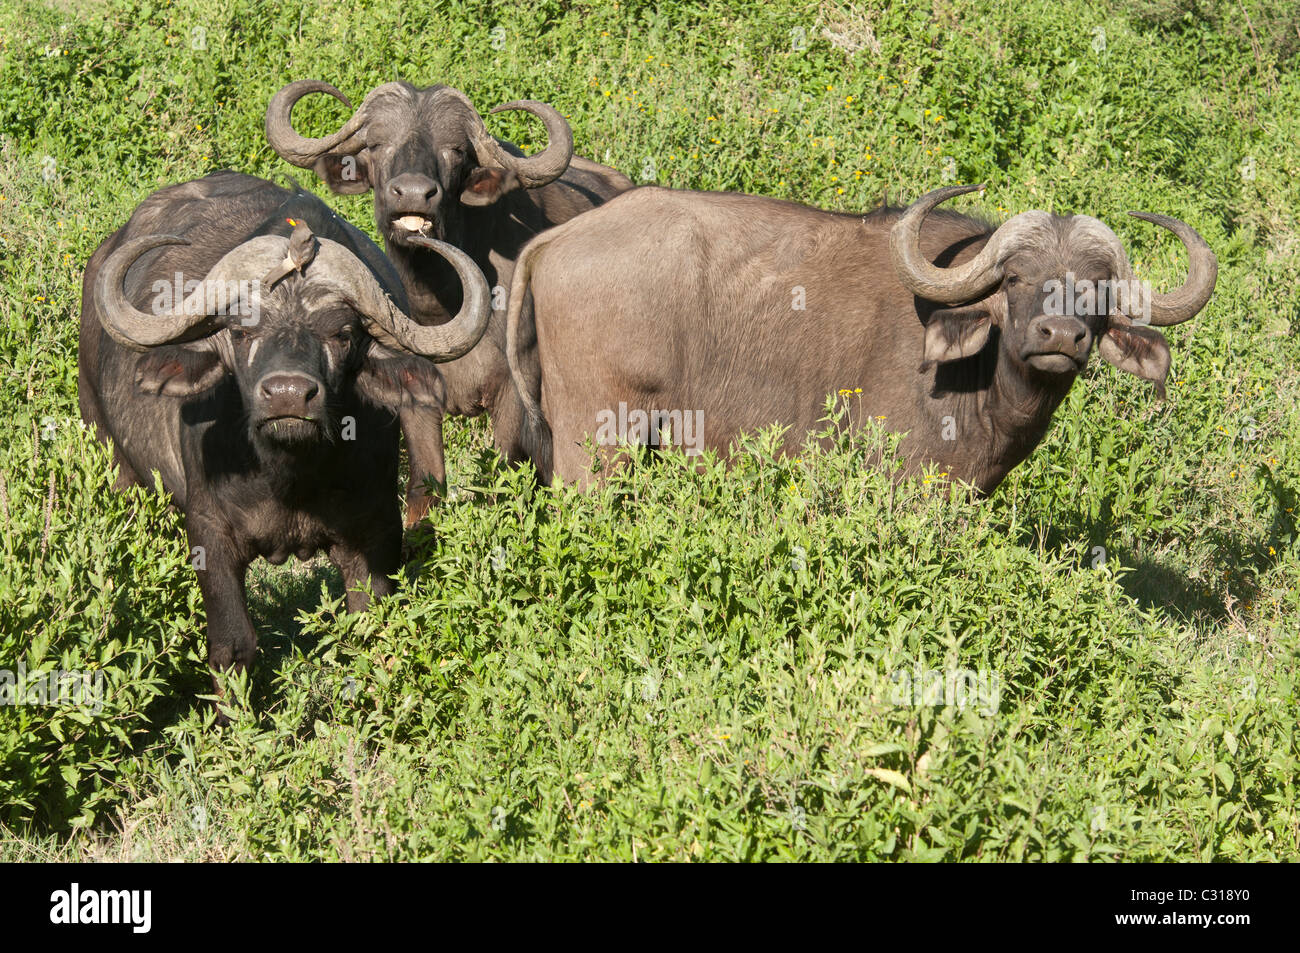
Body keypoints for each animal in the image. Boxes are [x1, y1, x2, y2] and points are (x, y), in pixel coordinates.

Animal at [78, 171, 489, 700]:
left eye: (343, 333)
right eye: (240, 331)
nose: (289, 395)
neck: (288, 479)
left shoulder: (376, 529)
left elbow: (369, 626)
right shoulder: (209, 534)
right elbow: (233, 646)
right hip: (114, 463)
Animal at [265, 80, 634, 506]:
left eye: (455, 149)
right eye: (376, 144)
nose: (412, 193)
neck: (444, 308)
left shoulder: (514, 396)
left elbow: (503, 479)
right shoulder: (416, 397)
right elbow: (426, 485)